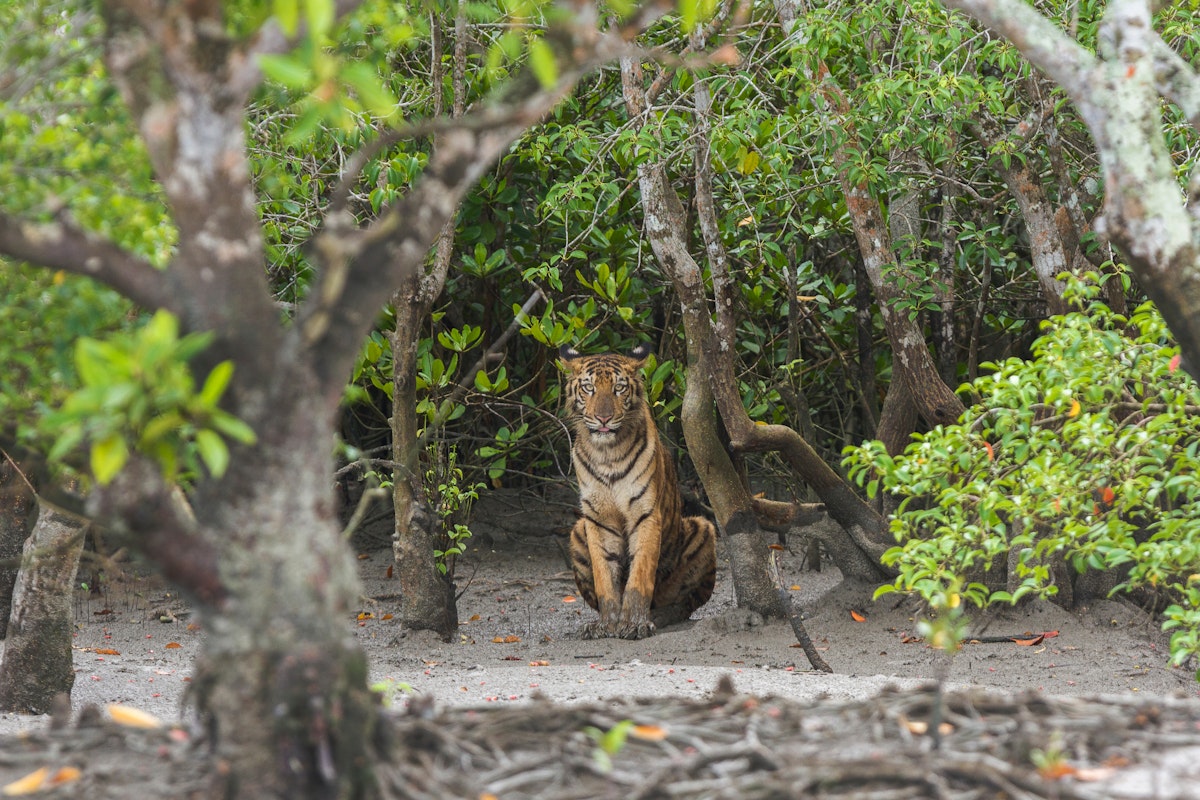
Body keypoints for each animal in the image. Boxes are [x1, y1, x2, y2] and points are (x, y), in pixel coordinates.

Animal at [559, 343, 717, 639]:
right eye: (589, 388)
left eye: (619, 388)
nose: (604, 418)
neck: (606, 453)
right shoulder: (597, 520)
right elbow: (605, 577)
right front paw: (606, 624)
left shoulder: (646, 514)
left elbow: (640, 575)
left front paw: (635, 623)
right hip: (577, 530)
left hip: (703, 528)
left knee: (686, 603)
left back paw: (661, 615)